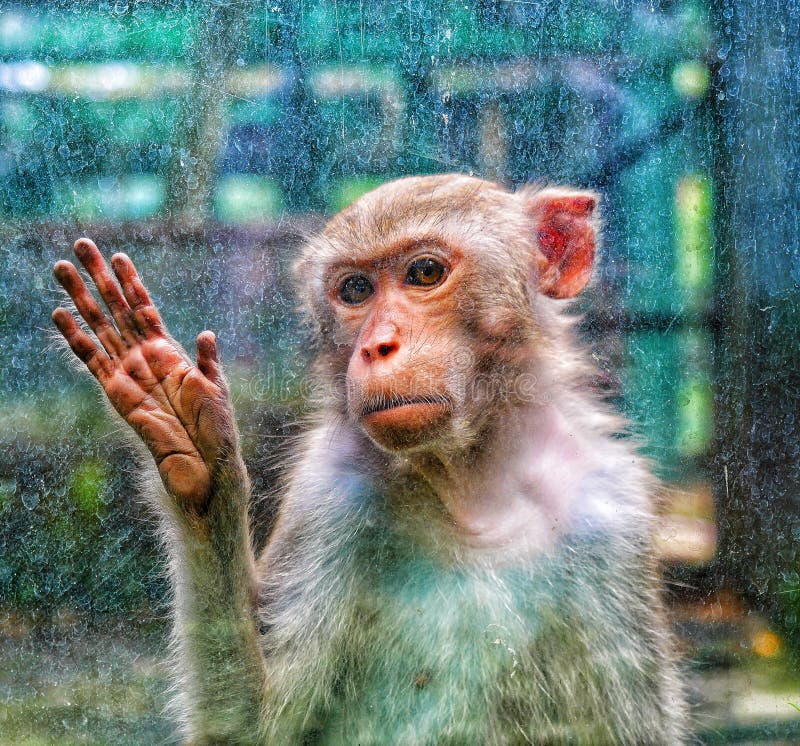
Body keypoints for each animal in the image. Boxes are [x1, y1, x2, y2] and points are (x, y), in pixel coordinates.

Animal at [52, 174, 687, 744]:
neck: (472, 488)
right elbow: (250, 729)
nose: (376, 346)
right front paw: (196, 455)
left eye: (425, 273)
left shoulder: (611, 515)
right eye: (355, 290)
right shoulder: (330, 493)